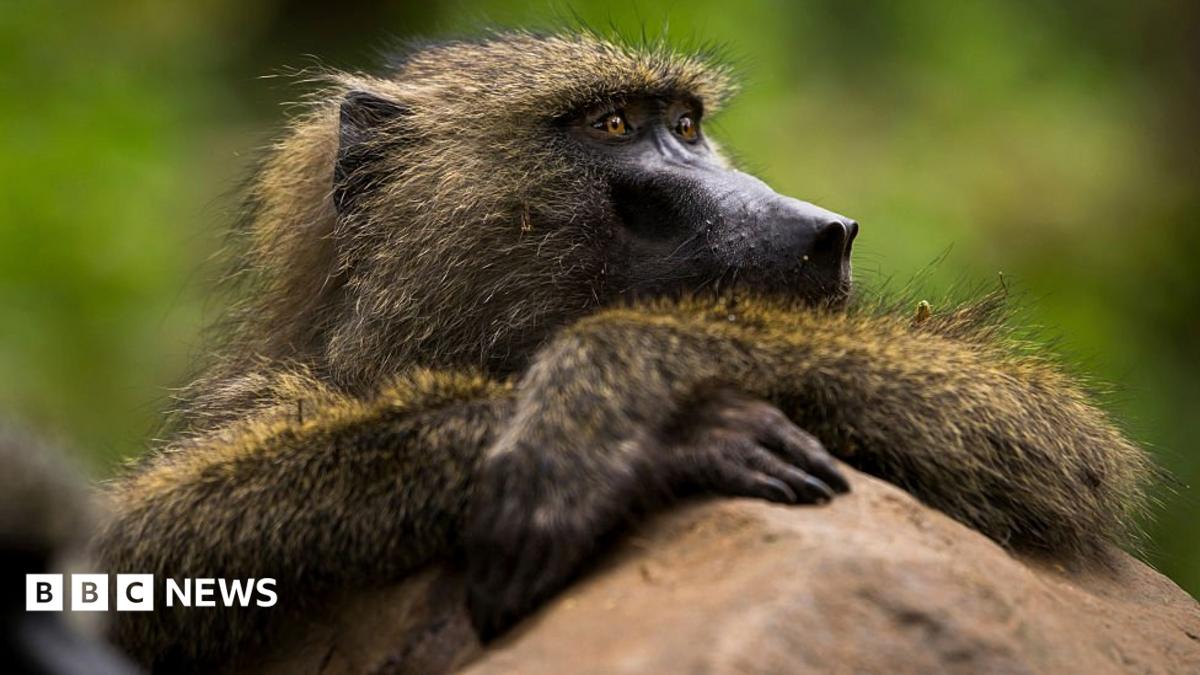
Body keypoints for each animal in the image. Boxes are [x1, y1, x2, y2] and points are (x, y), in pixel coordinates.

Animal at [91, 31, 1153, 672]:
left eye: (685, 126)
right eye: (611, 125)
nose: (826, 230)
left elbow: (1054, 436)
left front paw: (615, 378)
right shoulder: (269, 393)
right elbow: (135, 547)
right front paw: (660, 442)